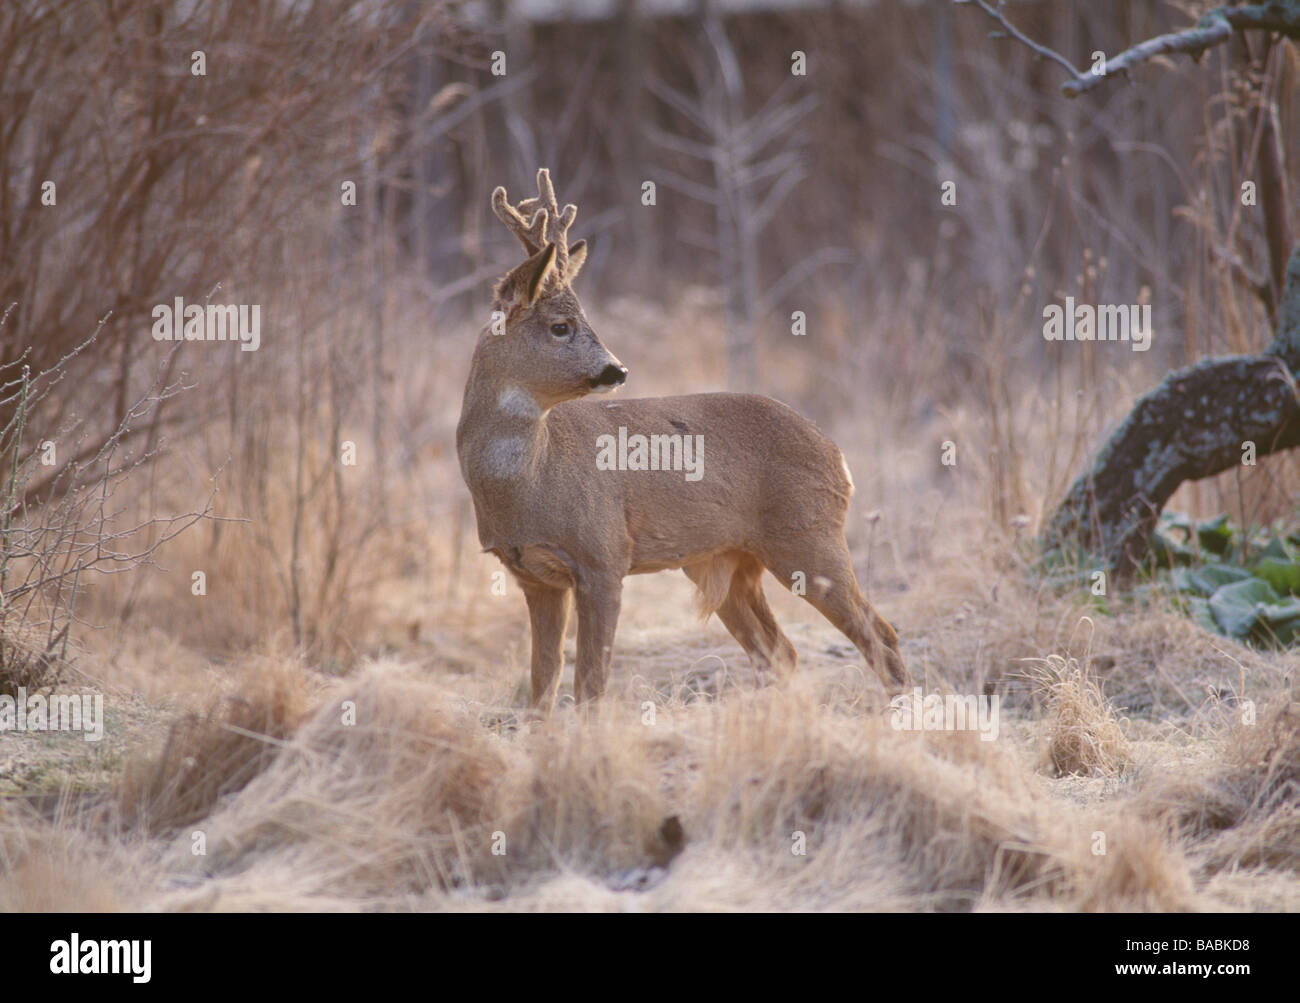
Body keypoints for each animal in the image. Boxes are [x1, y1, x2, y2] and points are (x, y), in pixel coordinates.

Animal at [456, 169, 908, 710]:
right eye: (560, 326)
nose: (617, 369)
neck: (529, 479)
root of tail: (838, 456)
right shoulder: (533, 576)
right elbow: (542, 685)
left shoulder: (603, 556)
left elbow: (590, 682)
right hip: (728, 560)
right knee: (780, 651)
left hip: (808, 534)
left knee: (880, 634)